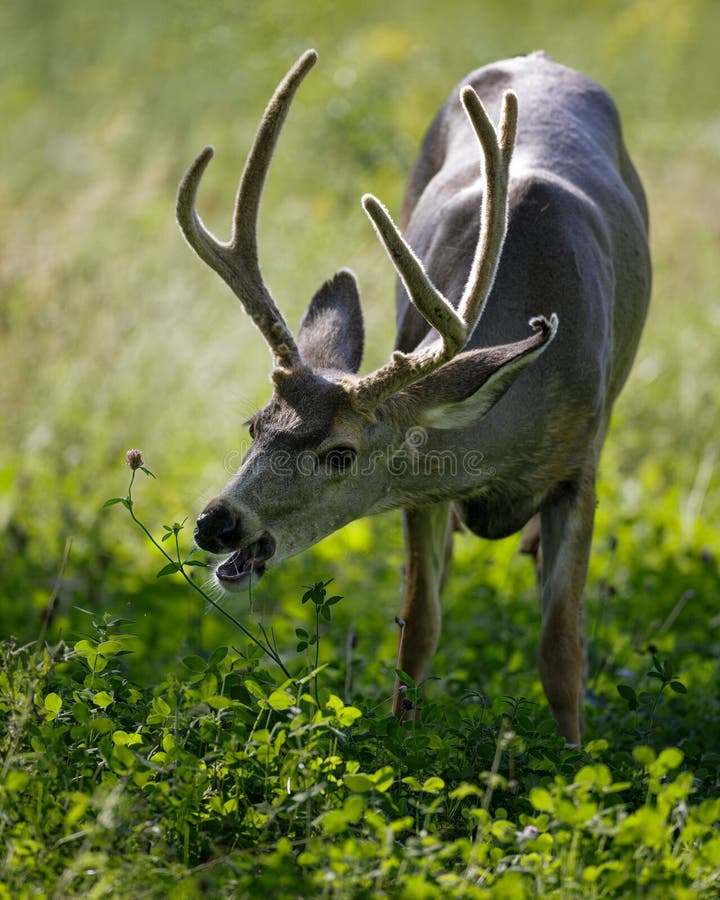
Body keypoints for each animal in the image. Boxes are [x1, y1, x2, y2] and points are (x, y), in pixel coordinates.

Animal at [176, 49, 650, 745]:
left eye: (341, 453)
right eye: (255, 426)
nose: (217, 521)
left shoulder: (580, 464)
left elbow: (562, 650)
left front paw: (573, 755)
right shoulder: (423, 494)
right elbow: (418, 627)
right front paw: (402, 735)